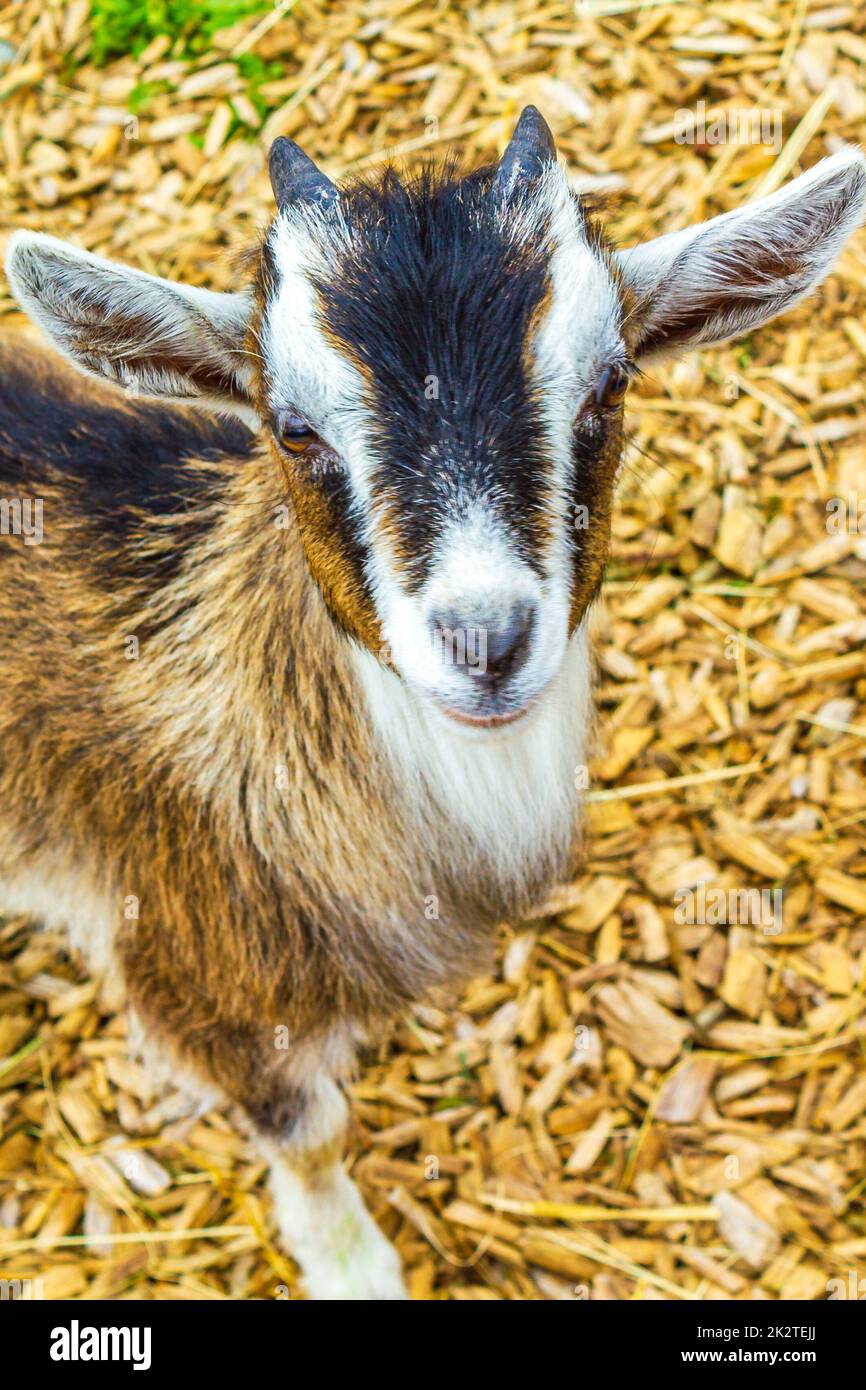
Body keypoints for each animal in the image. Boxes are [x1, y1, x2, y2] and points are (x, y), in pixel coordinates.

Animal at [2, 108, 864, 1299]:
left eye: (609, 387)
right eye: (291, 428)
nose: (483, 640)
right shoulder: (192, 960)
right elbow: (308, 1131)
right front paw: (352, 1265)